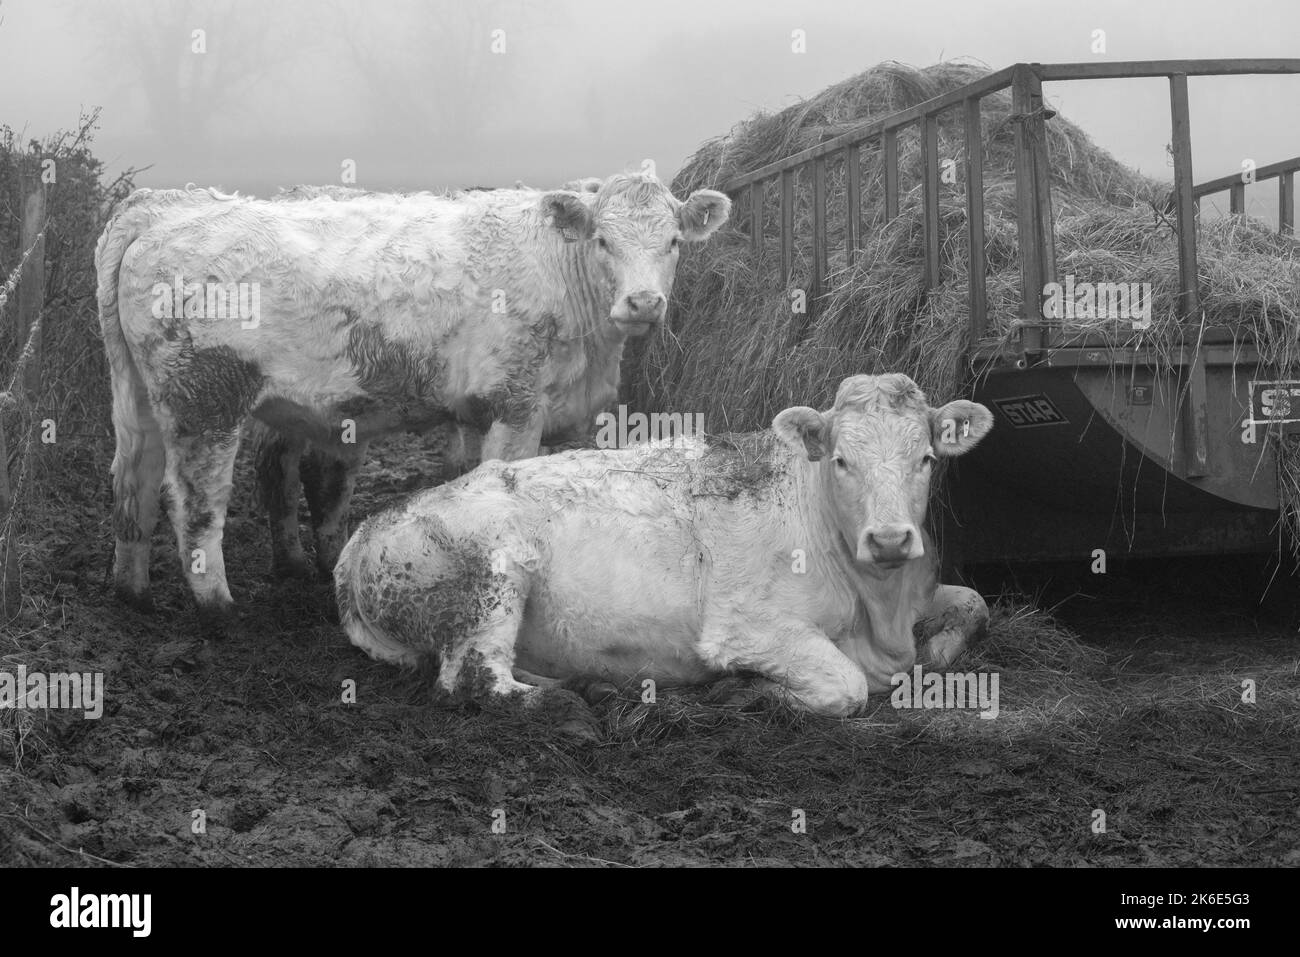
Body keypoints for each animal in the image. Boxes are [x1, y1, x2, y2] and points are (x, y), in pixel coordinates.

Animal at [96, 168, 731, 628]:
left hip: (142, 400)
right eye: (603, 239)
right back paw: (219, 608)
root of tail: (160, 206)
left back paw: (133, 590)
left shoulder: (500, 413)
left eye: (674, 241)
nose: (643, 303)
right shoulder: (516, 405)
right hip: (206, 398)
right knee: (196, 502)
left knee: (135, 482)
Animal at [333, 373, 994, 716]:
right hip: (492, 580)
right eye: (841, 460)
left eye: (926, 458)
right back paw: (576, 701)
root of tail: (365, 532)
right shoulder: (746, 627)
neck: (880, 609)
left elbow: (976, 603)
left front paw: (938, 650)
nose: (889, 538)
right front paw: (748, 689)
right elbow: (846, 688)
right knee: (475, 683)